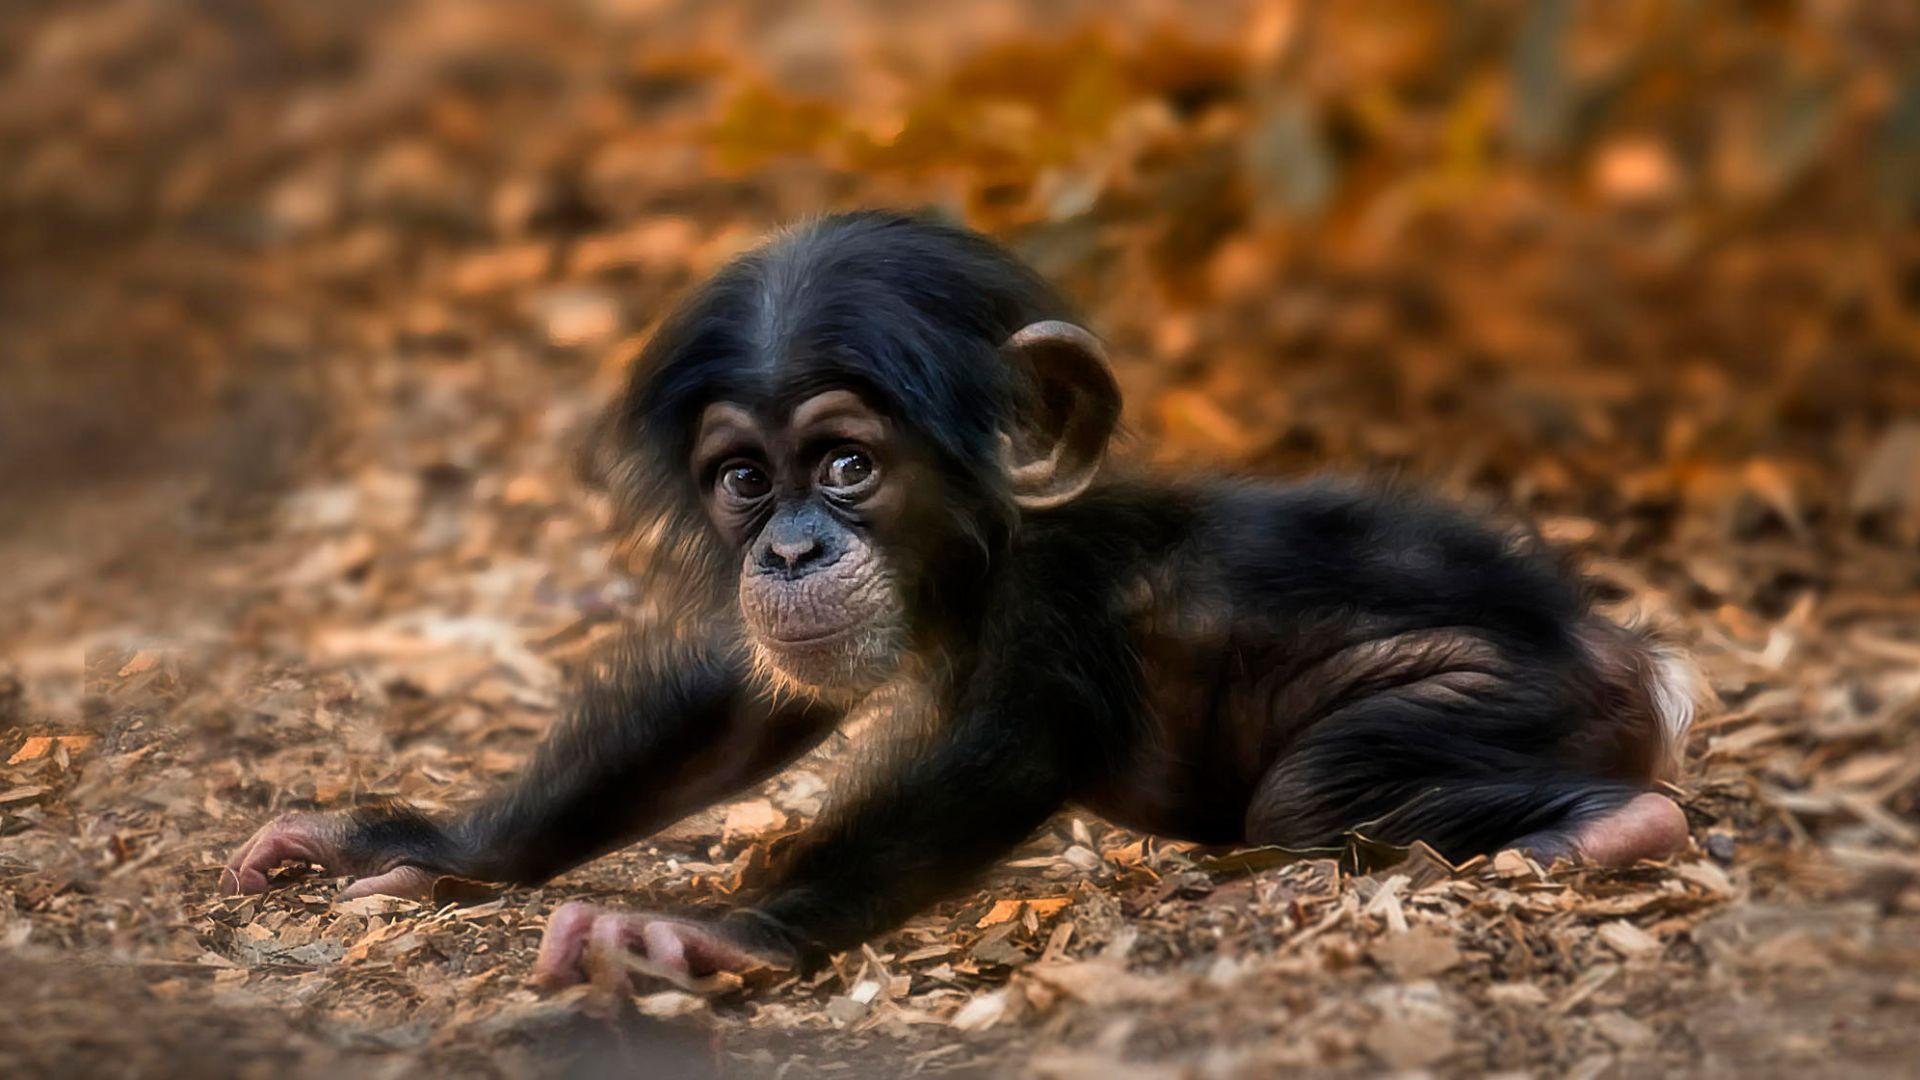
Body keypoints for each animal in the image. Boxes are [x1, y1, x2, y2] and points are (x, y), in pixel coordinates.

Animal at [223, 210, 1703, 986]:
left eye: (845, 463)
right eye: (744, 481)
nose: (790, 550)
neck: (981, 558)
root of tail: (1641, 660)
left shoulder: (1057, 610)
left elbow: (998, 759)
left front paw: (709, 934)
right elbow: (732, 714)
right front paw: (414, 845)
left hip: (1500, 691)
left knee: (1316, 791)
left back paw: (1609, 830)